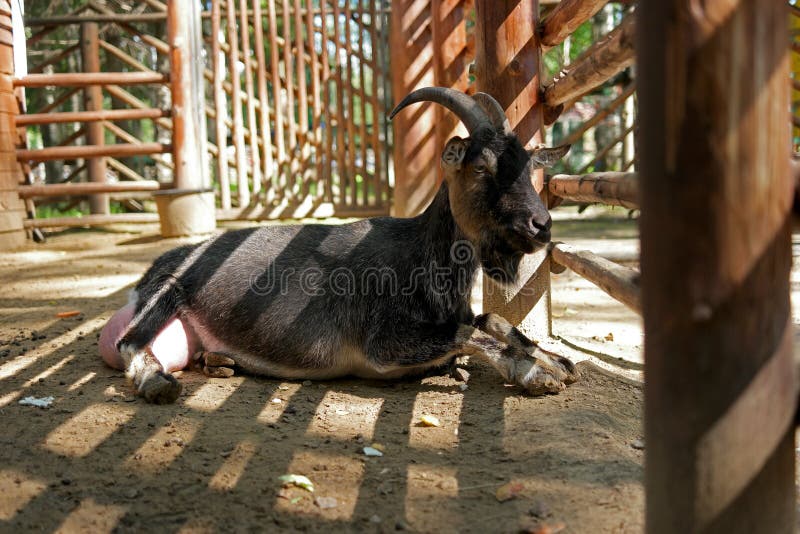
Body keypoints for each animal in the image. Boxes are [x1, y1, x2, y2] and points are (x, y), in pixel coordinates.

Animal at [98, 87, 578, 403]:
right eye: (481, 166)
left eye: (529, 166)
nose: (540, 226)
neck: (421, 254)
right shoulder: (383, 343)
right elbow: (468, 332)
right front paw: (535, 373)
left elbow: (489, 319)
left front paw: (558, 361)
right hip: (167, 290)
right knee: (129, 342)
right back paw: (157, 383)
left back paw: (220, 362)